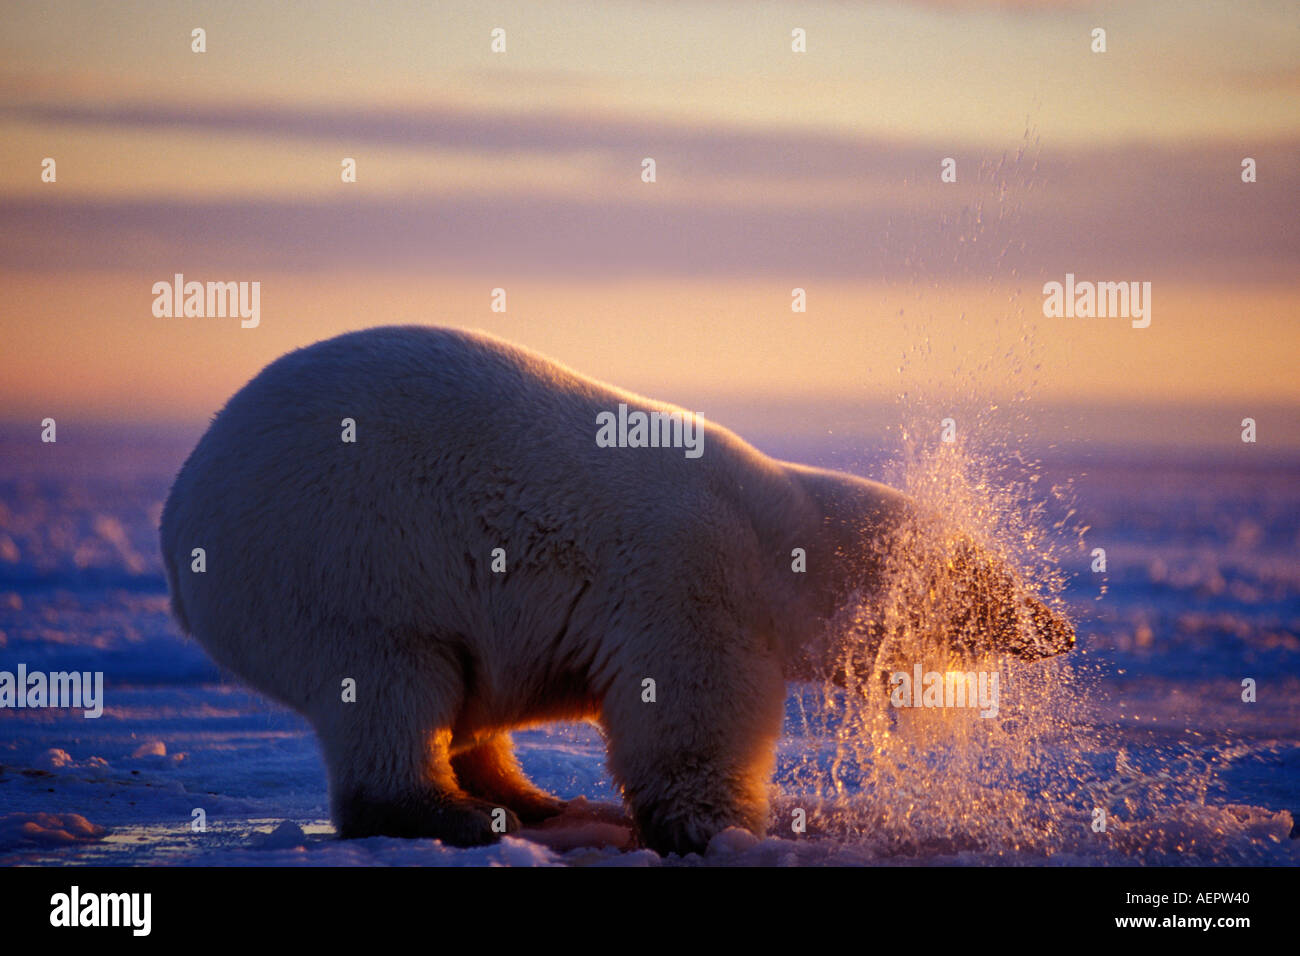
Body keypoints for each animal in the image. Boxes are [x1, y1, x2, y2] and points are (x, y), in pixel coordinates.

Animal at [159, 325, 1074, 856]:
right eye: (991, 577)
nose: (1060, 629)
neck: (778, 540)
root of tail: (178, 521)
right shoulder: (690, 581)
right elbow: (690, 716)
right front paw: (716, 827)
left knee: (465, 696)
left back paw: (529, 800)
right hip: (341, 565)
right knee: (393, 689)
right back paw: (451, 814)